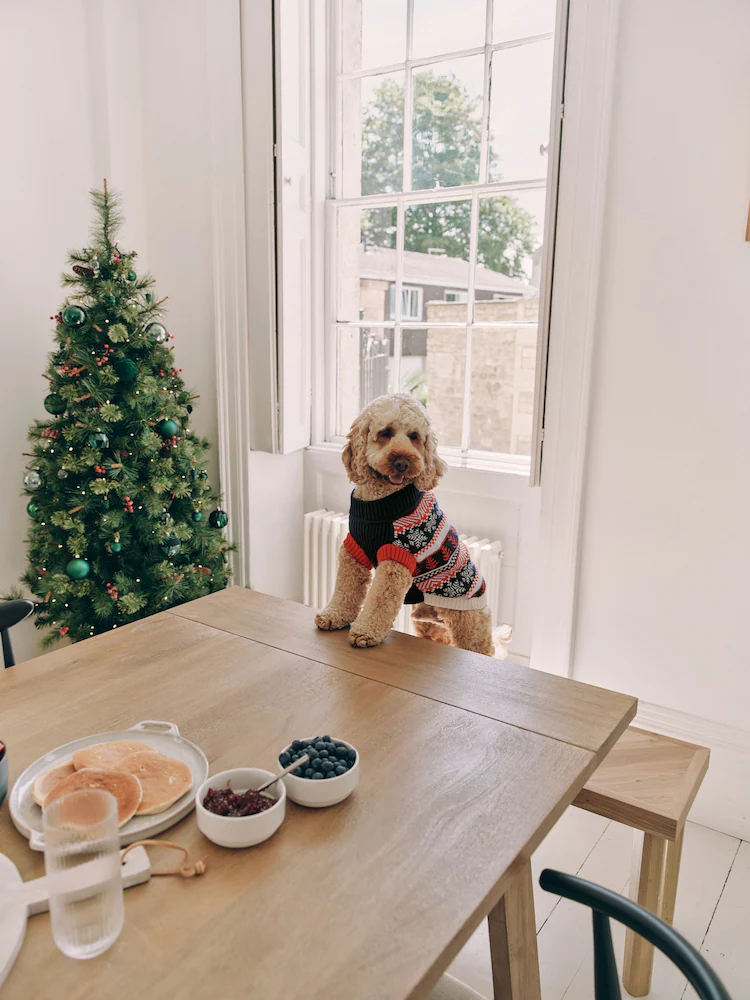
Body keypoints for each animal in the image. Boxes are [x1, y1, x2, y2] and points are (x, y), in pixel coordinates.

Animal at [316, 390, 496, 656]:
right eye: (386, 432)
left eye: (414, 437)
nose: (402, 462)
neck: (381, 501)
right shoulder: (354, 550)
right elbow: (345, 590)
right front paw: (333, 615)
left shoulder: (395, 561)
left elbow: (378, 602)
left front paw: (365, 631)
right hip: (423, 623)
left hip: (468, 622)